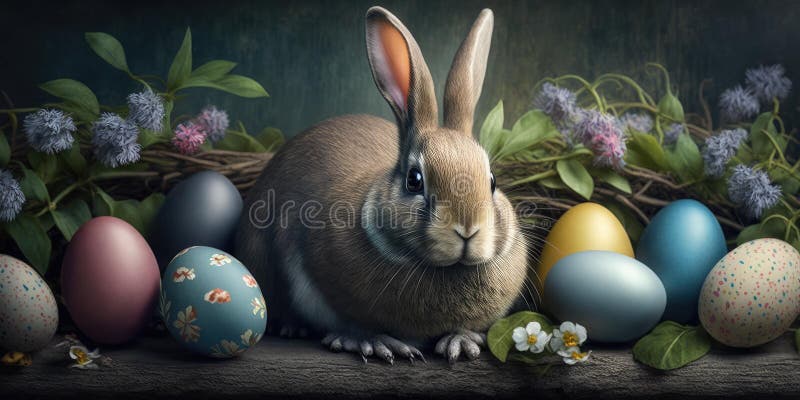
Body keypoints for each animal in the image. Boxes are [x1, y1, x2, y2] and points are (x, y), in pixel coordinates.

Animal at [235, 6, 529, 364]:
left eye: (492, 181)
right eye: (414, 180)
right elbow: (353, 325)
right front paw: (377, 344)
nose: (468, 230)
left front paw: (462, 342)